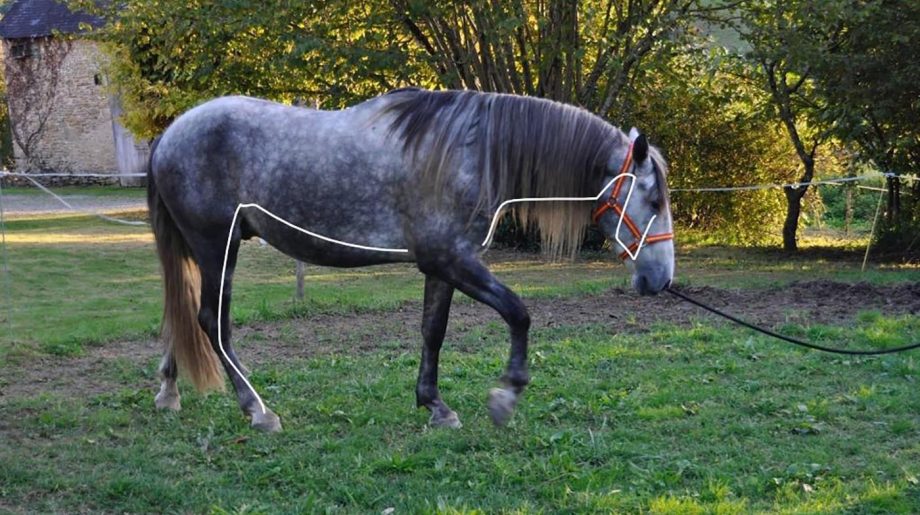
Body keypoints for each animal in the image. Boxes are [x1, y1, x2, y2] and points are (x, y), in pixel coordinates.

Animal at [147, 88, 675, 432]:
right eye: (652, 199)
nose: (661, 278)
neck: (468, 152)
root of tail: (170, 134)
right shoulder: (452, 259)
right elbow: (518, 313)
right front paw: (505, 397)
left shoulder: (440, 266)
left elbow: (432, 331)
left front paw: (434, 405)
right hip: (217, 247)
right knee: (210, 322)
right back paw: (258, 410)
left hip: (201, 250)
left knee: (180, 315)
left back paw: (169, 393)